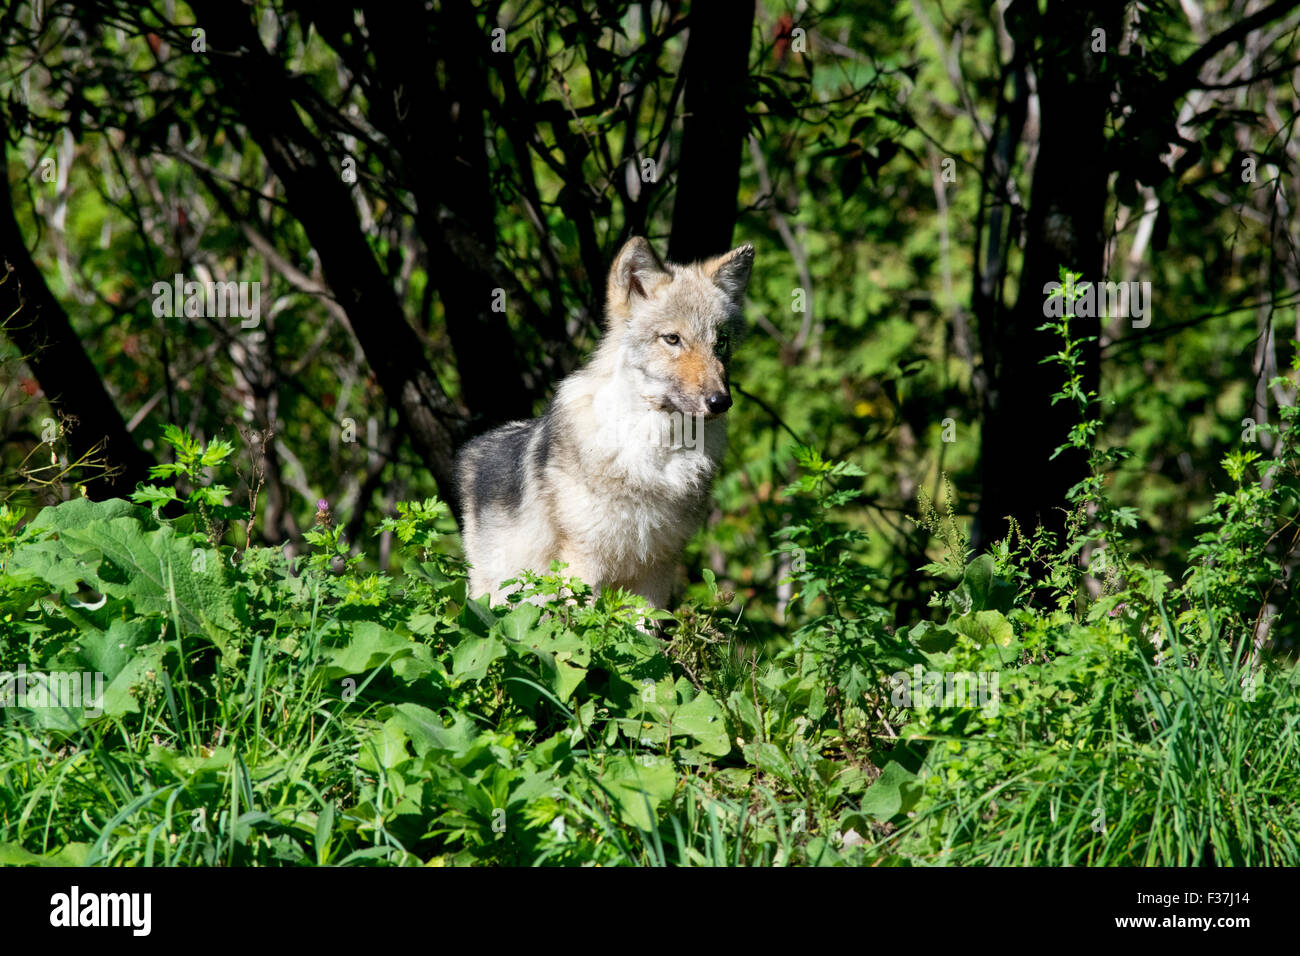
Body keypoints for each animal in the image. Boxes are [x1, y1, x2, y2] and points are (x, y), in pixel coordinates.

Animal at [456, 236, 754, 609]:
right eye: (672, 339)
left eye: (720, 343)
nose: (721, 401)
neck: (656, 453)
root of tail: (473, 449)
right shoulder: (583, 562)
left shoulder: (657, 569)